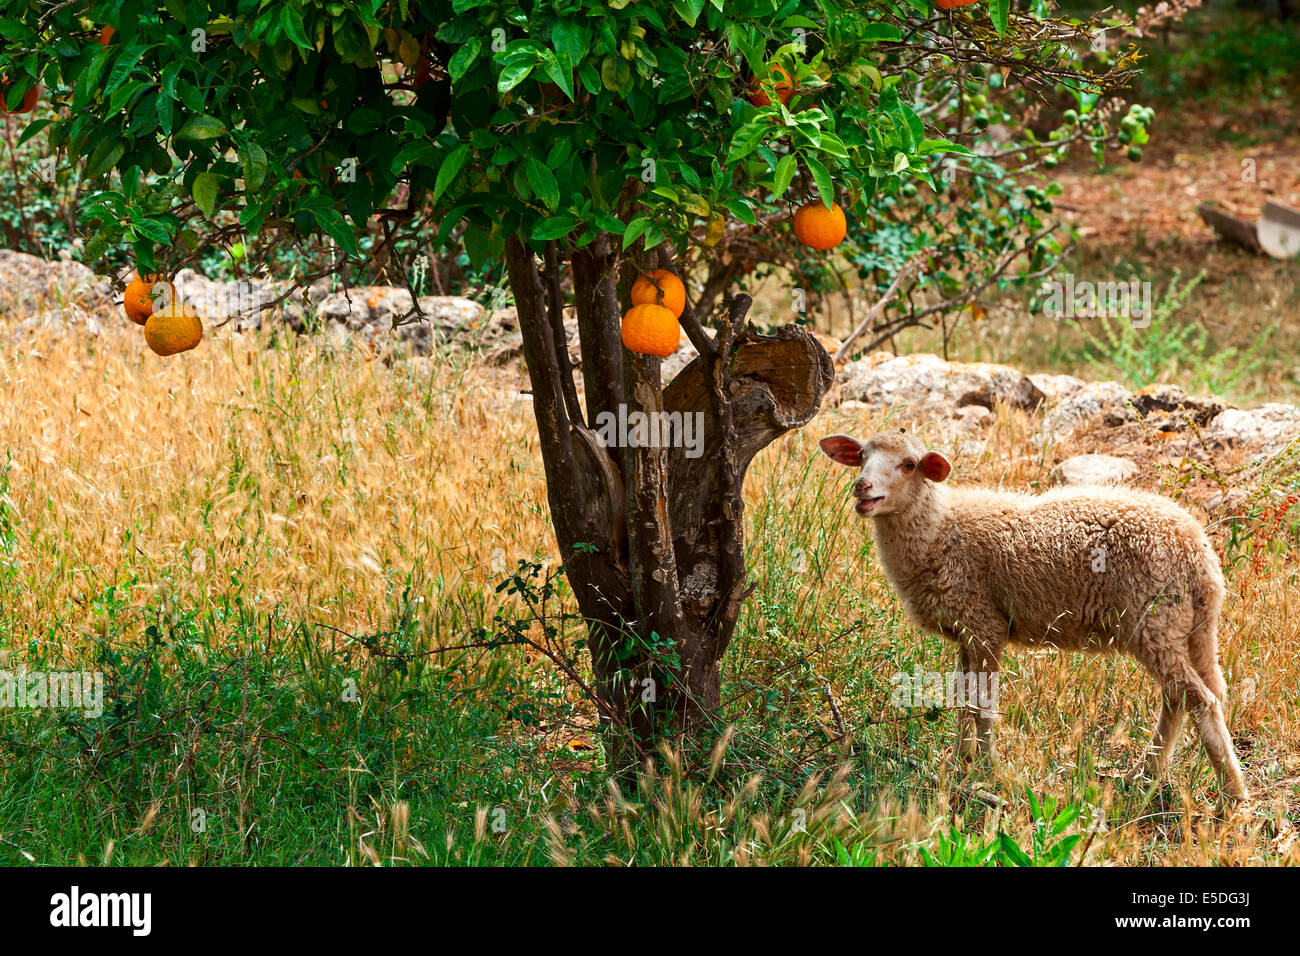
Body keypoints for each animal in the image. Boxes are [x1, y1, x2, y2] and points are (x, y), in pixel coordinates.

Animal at [819, 430, 1248, 802]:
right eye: (861, 455)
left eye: (909, 464)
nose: (862, 487)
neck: (940, 530)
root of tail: (1201, 557)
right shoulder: (966, 632)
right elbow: (962, 700)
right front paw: (959, 762)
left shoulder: (984, 625)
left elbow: (983, 705)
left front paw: (985, 771)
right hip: (1180, 630)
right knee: (1181, 698)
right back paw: (1144, 775)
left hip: (1154, 622)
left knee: (1200, 700)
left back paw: (1232, 795)